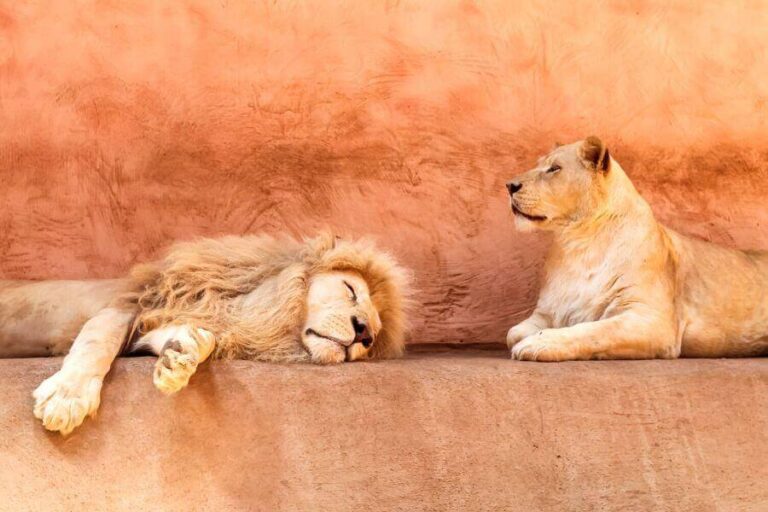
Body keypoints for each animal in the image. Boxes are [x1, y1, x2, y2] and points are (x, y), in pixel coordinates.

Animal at [0, 232, 410, 435]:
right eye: (350, 289)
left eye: (375, 335)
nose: (363, 334)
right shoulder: (131, 304)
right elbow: (95, 342)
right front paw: (66, 398)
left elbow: (185, 338)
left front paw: (183, 353)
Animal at [505, 136, 768, 361]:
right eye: (538, 165)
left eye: (554, 168)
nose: (509, 185)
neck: (579, 242)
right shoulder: (547, 311)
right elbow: (512, 333)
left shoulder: (652, 319)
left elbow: (594, 331)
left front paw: (540, 343)